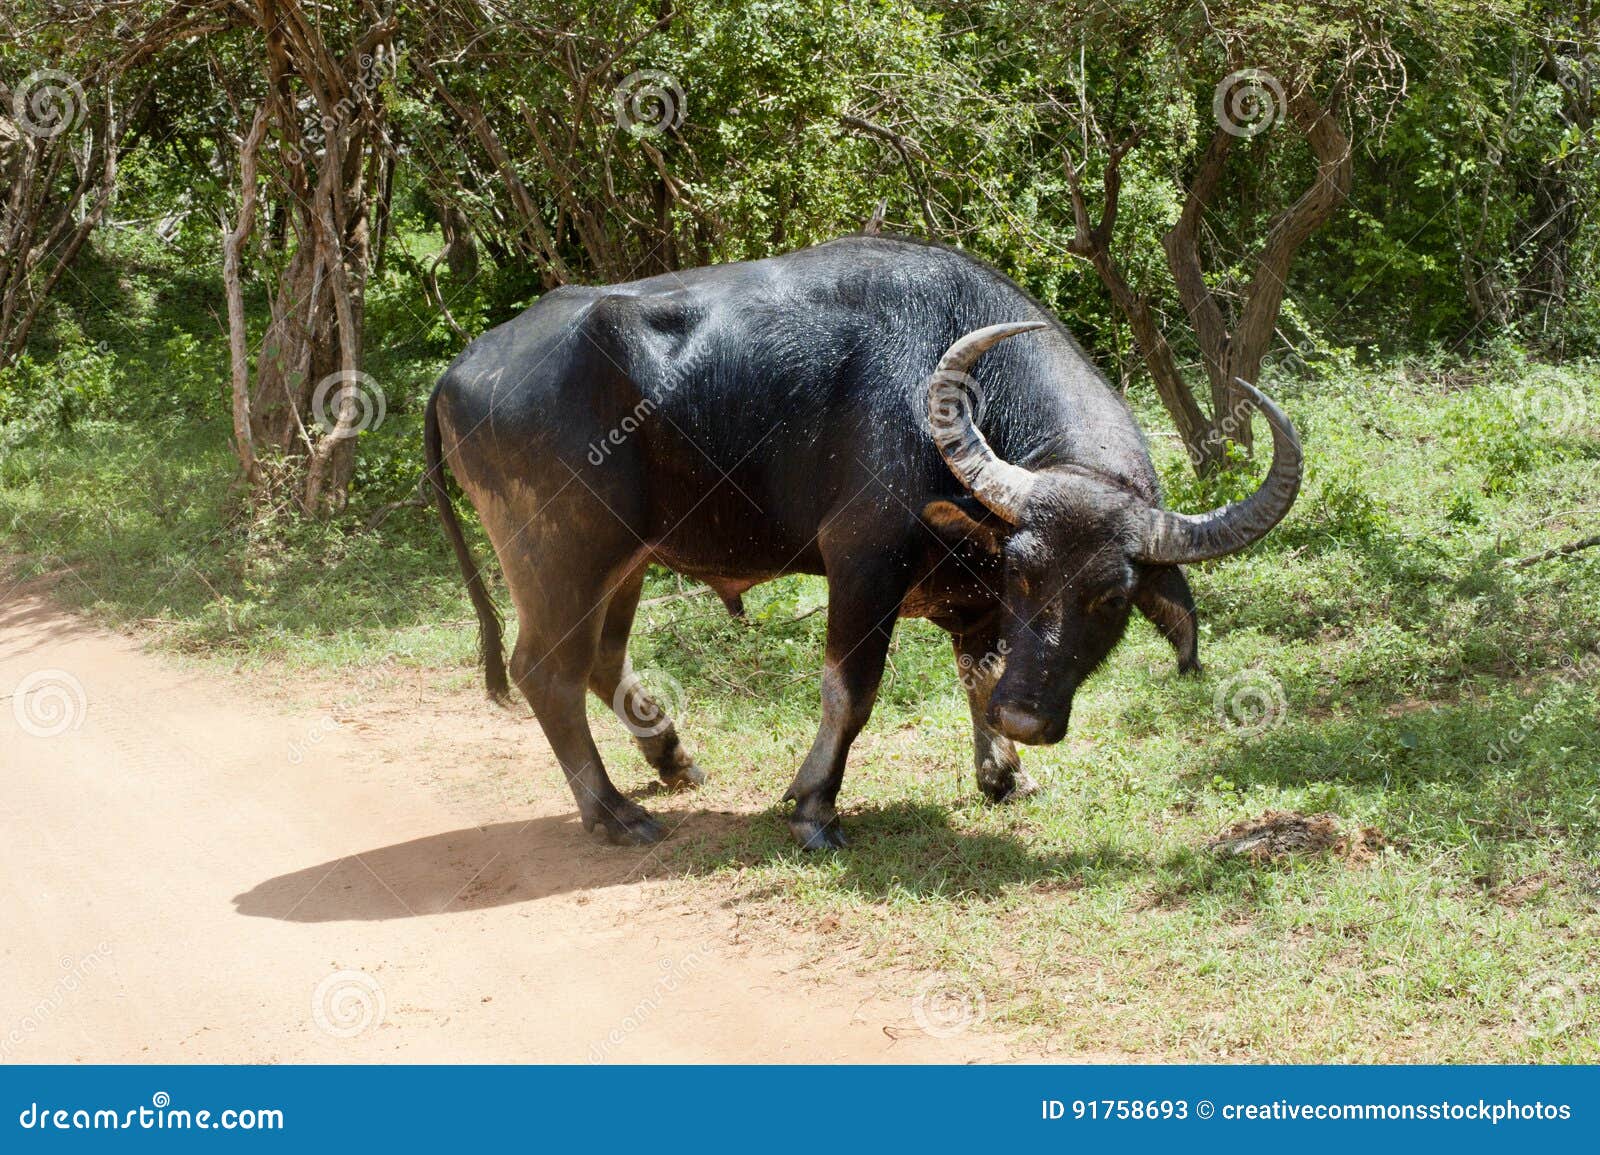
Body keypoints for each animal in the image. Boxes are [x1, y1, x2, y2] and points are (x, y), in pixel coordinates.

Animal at [424, 236, 1301, 849]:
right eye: (1023, 571)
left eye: (1112, 596)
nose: (1028, 718)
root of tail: (459, 369)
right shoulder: (863, 565)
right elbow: (851, 692)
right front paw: (814, 805)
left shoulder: (969, 594)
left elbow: (978, 673)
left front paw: (1003, 773)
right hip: (561, 559)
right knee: (547, 672)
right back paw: (610, 811)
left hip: (628, 561)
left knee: (602, 659)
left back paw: (672, 759)